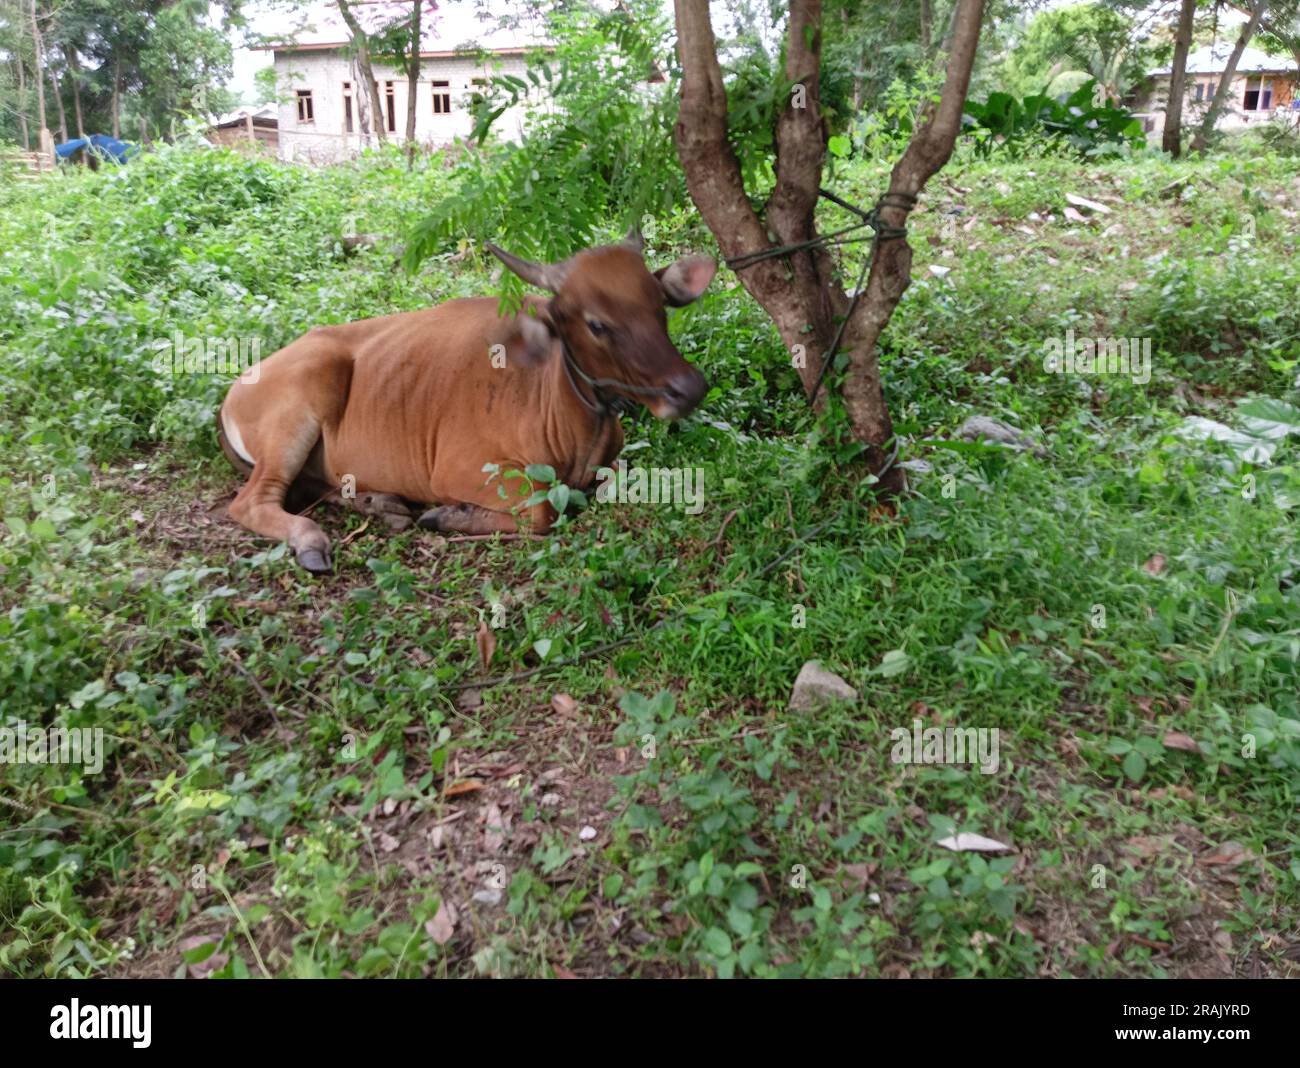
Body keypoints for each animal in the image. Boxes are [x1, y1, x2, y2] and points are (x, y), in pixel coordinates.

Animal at [216, 233, 717, 573]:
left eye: (660, 306)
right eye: (597, 323)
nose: (687, 387)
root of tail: (235, 389)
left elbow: (610, 481)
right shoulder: (458, 469)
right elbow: (542, 510)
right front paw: (448, 514)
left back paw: (382, 505)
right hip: (303, 401)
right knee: (250, 502)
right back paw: (312, 540)